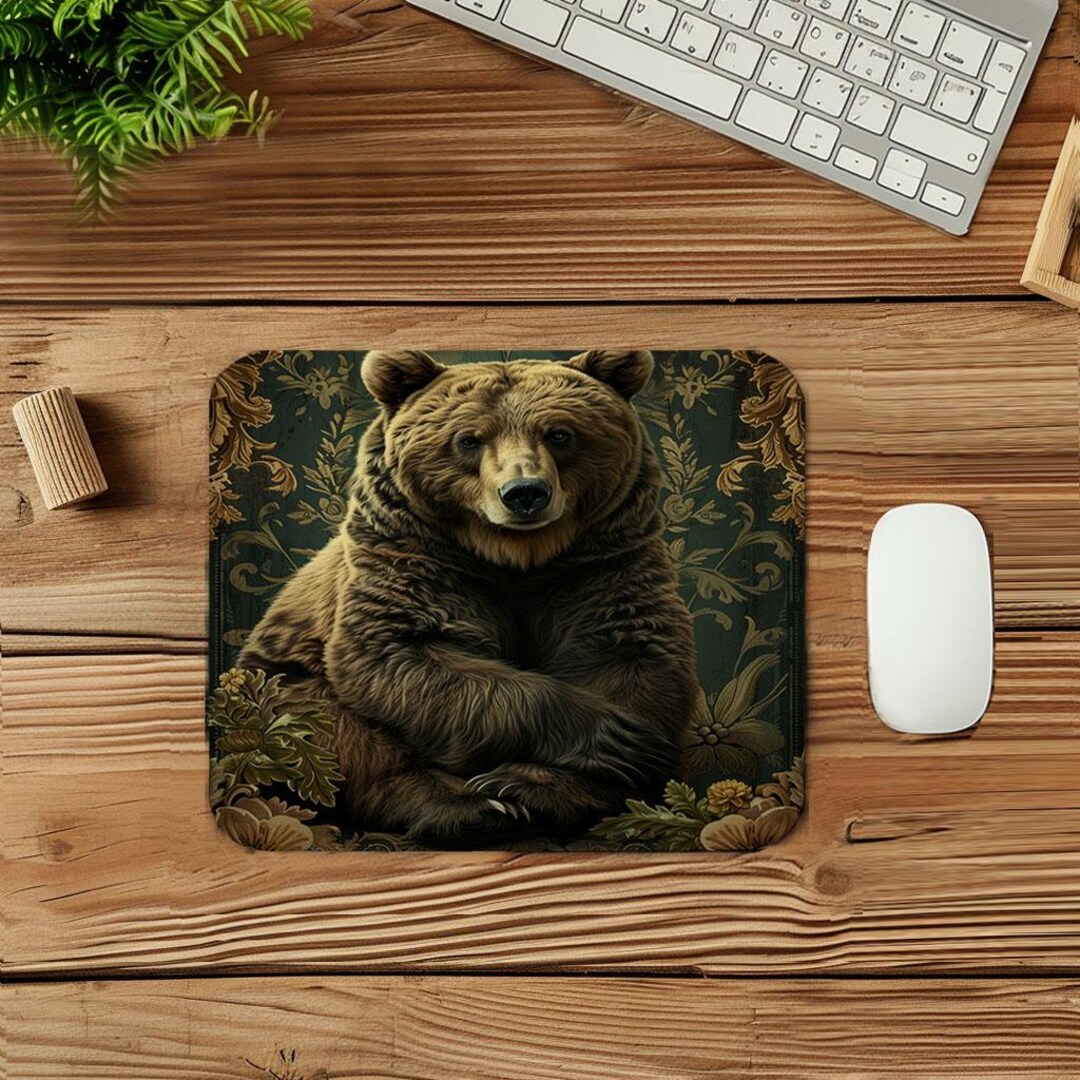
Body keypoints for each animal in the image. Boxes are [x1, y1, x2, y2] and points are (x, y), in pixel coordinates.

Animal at [239, 348, 700, 845]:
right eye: (470, 439)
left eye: (559, 433)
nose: (525, 492)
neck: (517, 557)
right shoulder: (414, 559)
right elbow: (405, 654)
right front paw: (607, 737)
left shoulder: (603, 564)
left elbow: (630, 656)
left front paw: (539, 782)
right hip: (283, 684)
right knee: (334, 734)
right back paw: (472, 806)